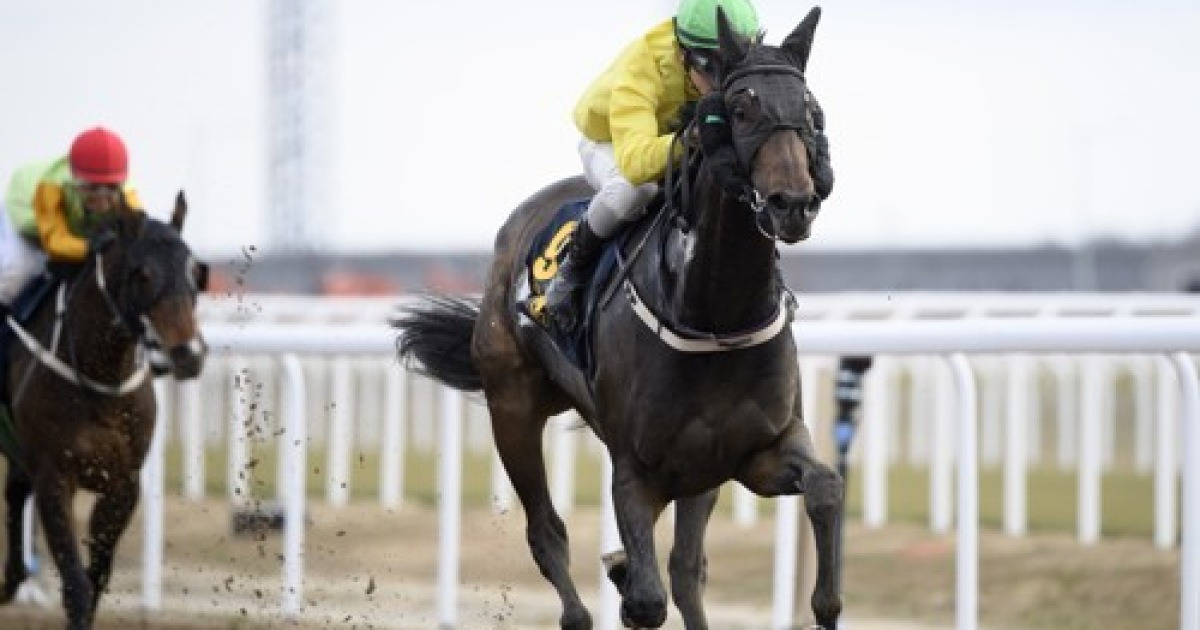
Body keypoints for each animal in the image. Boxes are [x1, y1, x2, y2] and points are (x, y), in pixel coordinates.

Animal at [0, 192, 208, 629]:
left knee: (14, 491)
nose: (189, 355)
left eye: (195, 271)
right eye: (142, 274)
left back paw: (12, 578)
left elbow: (96, 579)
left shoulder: (122, 483)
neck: (102, 382)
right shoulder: (54, 476)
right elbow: (77, 585)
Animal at [396, 8, 840, 629]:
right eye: (741, 109)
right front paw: (625, 579)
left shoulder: (756, 451)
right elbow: (646, 600)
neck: (716, 315)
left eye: (810, 110)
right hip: (512, 407)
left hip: (697, 471)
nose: (791, 203)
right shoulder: (636, 469)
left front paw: (826, 603)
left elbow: (825, 486)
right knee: (547, 533)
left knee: (686, 569)